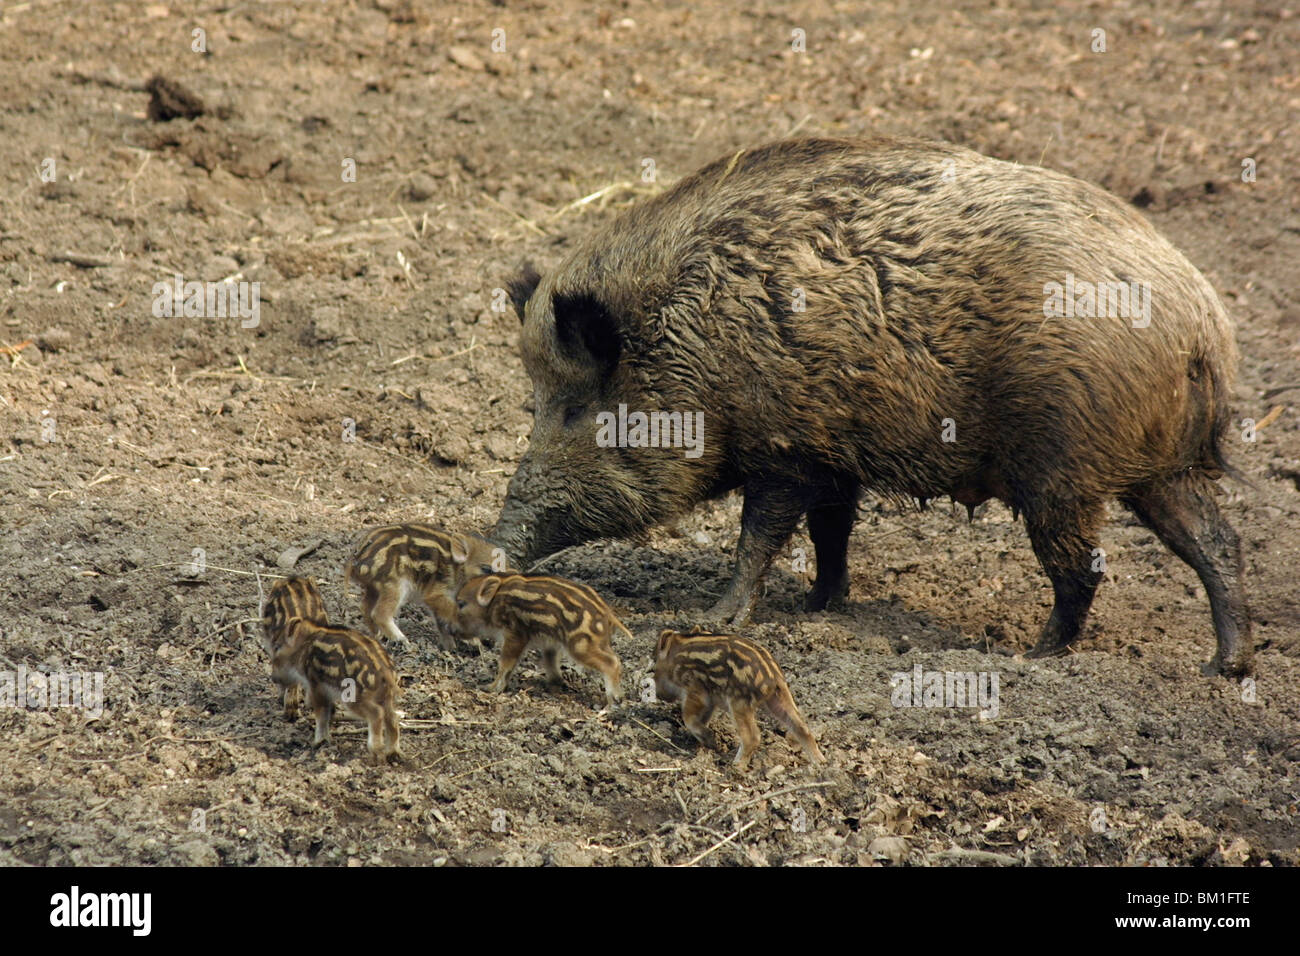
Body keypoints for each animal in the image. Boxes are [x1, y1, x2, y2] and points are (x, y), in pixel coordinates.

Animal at [493, 137, 1251, 676]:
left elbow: (759, 536)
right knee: (1216, 540)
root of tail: (1204, 324)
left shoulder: (786, 449)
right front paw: (820, 606)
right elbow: (830, 534)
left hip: (1062, 471)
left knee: (1083, 565)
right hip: (1157, 469)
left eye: (572, 408)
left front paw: (717, 619)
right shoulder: (831, 456)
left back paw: (1031, 656)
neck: (694, 338)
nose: (492, 551)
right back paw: (1227, 666)